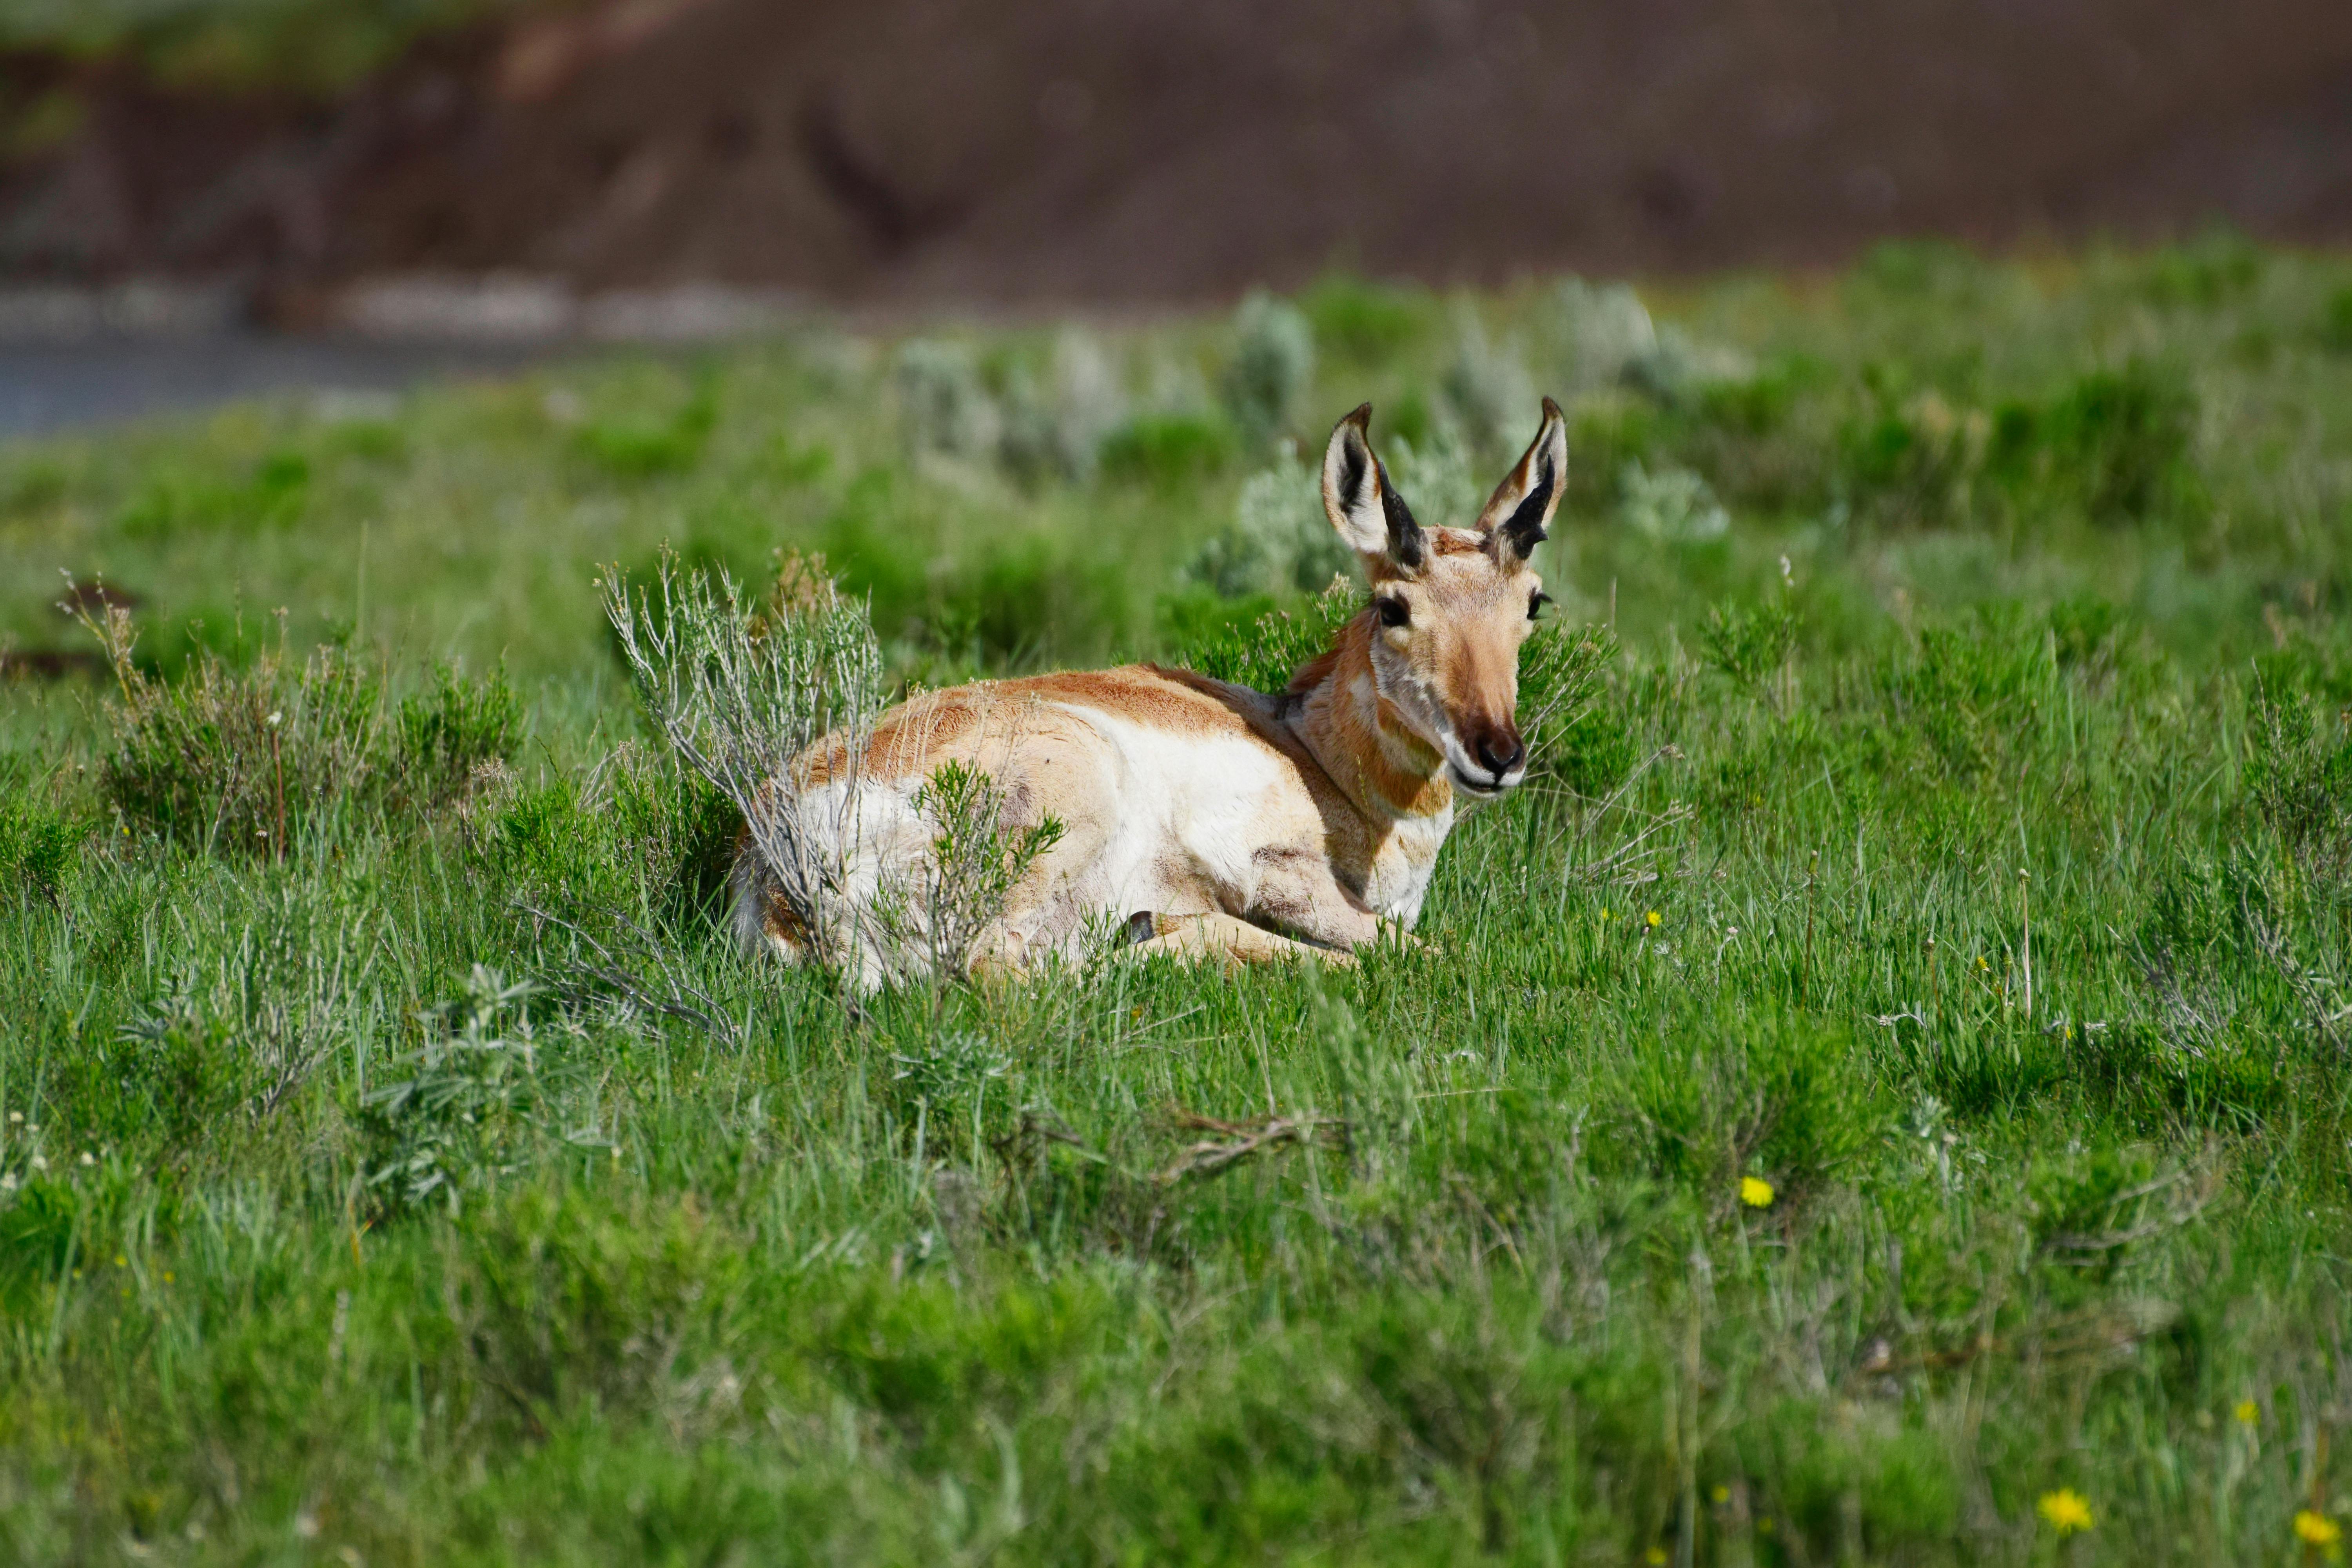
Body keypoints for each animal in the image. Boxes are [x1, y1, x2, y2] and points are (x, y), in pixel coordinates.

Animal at [733, 398, 1568, 987]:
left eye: (1532, 602)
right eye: (1394, 607)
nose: (1498, 754)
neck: (1313, 754)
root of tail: (776, 843)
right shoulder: (1275, 872)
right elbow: (1425, 950)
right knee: (1008, 971)